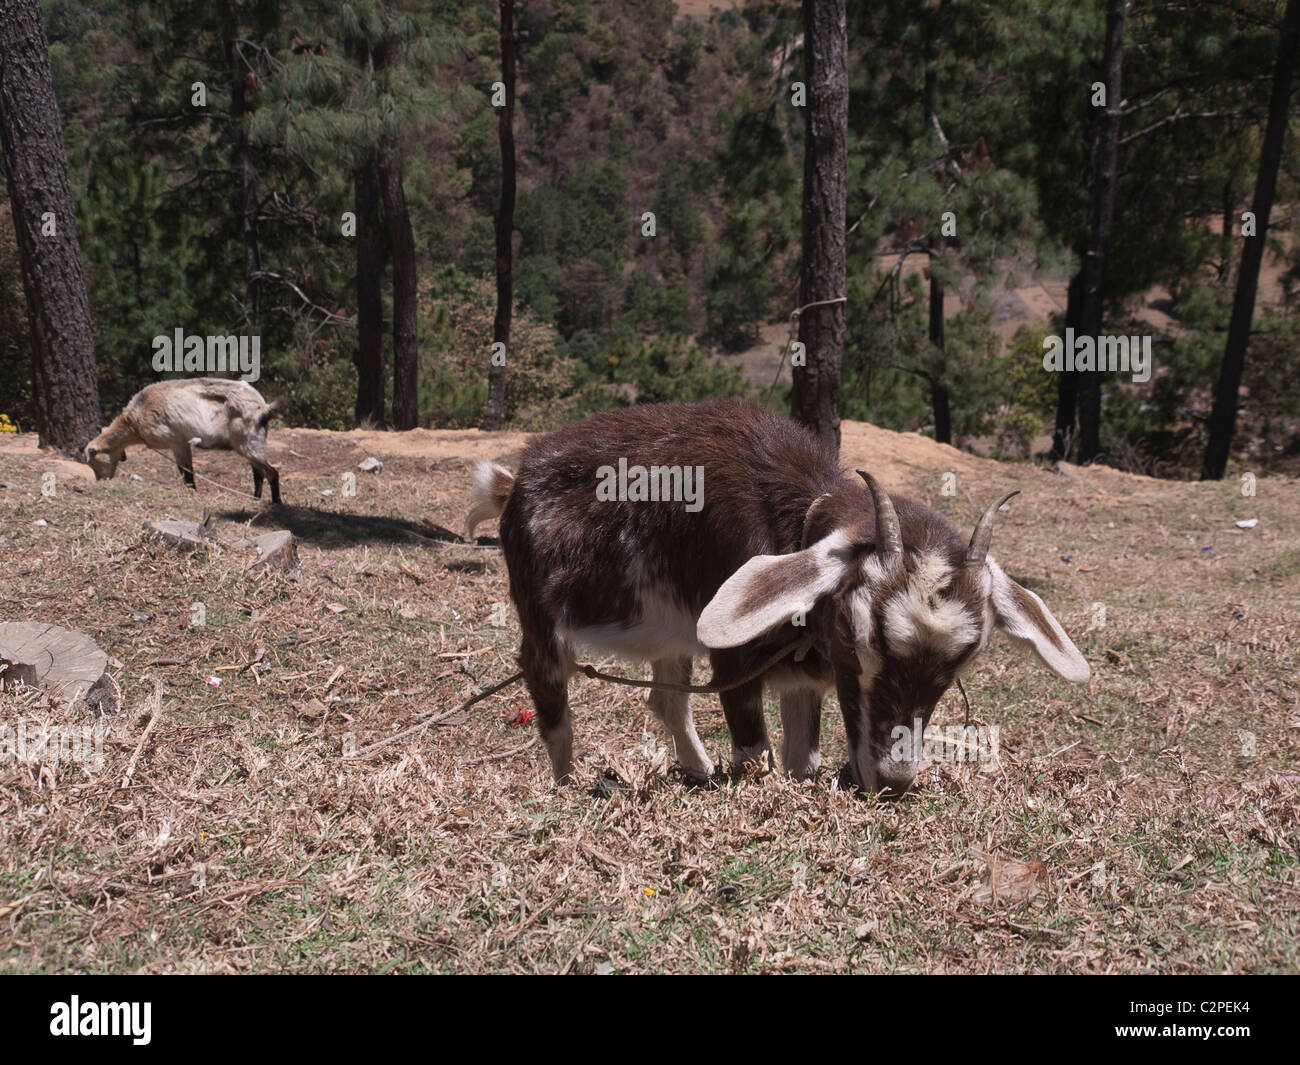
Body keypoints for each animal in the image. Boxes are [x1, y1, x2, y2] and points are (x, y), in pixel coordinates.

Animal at [84, 378, 283, 503]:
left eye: (93, 462)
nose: (101, 481)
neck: (136, 417)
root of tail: (264, 407)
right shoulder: (183, 442)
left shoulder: (177, 441)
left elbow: (186, 471)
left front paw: (192, 492)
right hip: (249, 445)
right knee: (258, 474)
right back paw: (255, 499)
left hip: (249, 443)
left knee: (272, 472)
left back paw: (276, 503)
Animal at [467, 399, 1090, 794]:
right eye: (857, 640)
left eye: (960, 665)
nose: (893, 782)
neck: (795, 518)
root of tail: (516, 480)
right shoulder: (735, 660)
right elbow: (755, 753)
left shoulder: (802, 675)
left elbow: (802, 759)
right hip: (540, 618)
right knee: (550, 694)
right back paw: (568, 783)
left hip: (671, 634)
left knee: (667, 701)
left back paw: (696, 771)